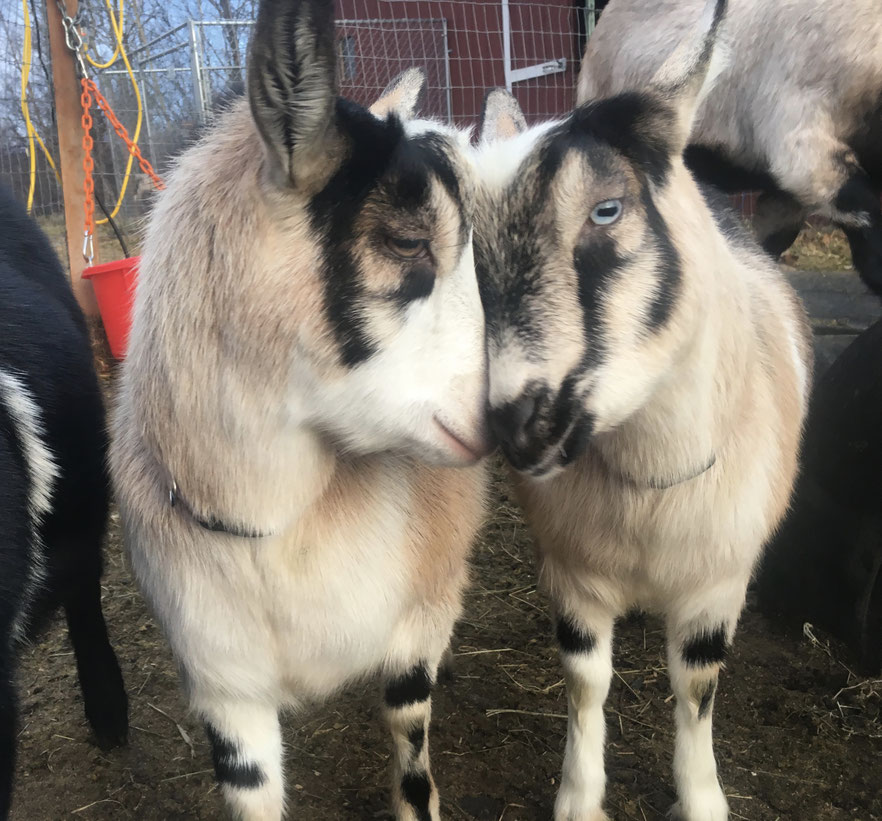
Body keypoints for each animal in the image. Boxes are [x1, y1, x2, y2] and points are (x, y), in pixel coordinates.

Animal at [109, 1, 489, 818]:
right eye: (406, 239)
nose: (524, 406)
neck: (277, 527)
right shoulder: (225, 690)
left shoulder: (418, 619)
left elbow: (409, 737)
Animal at [472, 1, 811, 818]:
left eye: (607, 208)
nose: (516, 420)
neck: (649, 479)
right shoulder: (572, 572)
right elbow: (585, 680)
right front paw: (578, 796)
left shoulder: (719, 583)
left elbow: (696, 683)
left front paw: (702, 796)